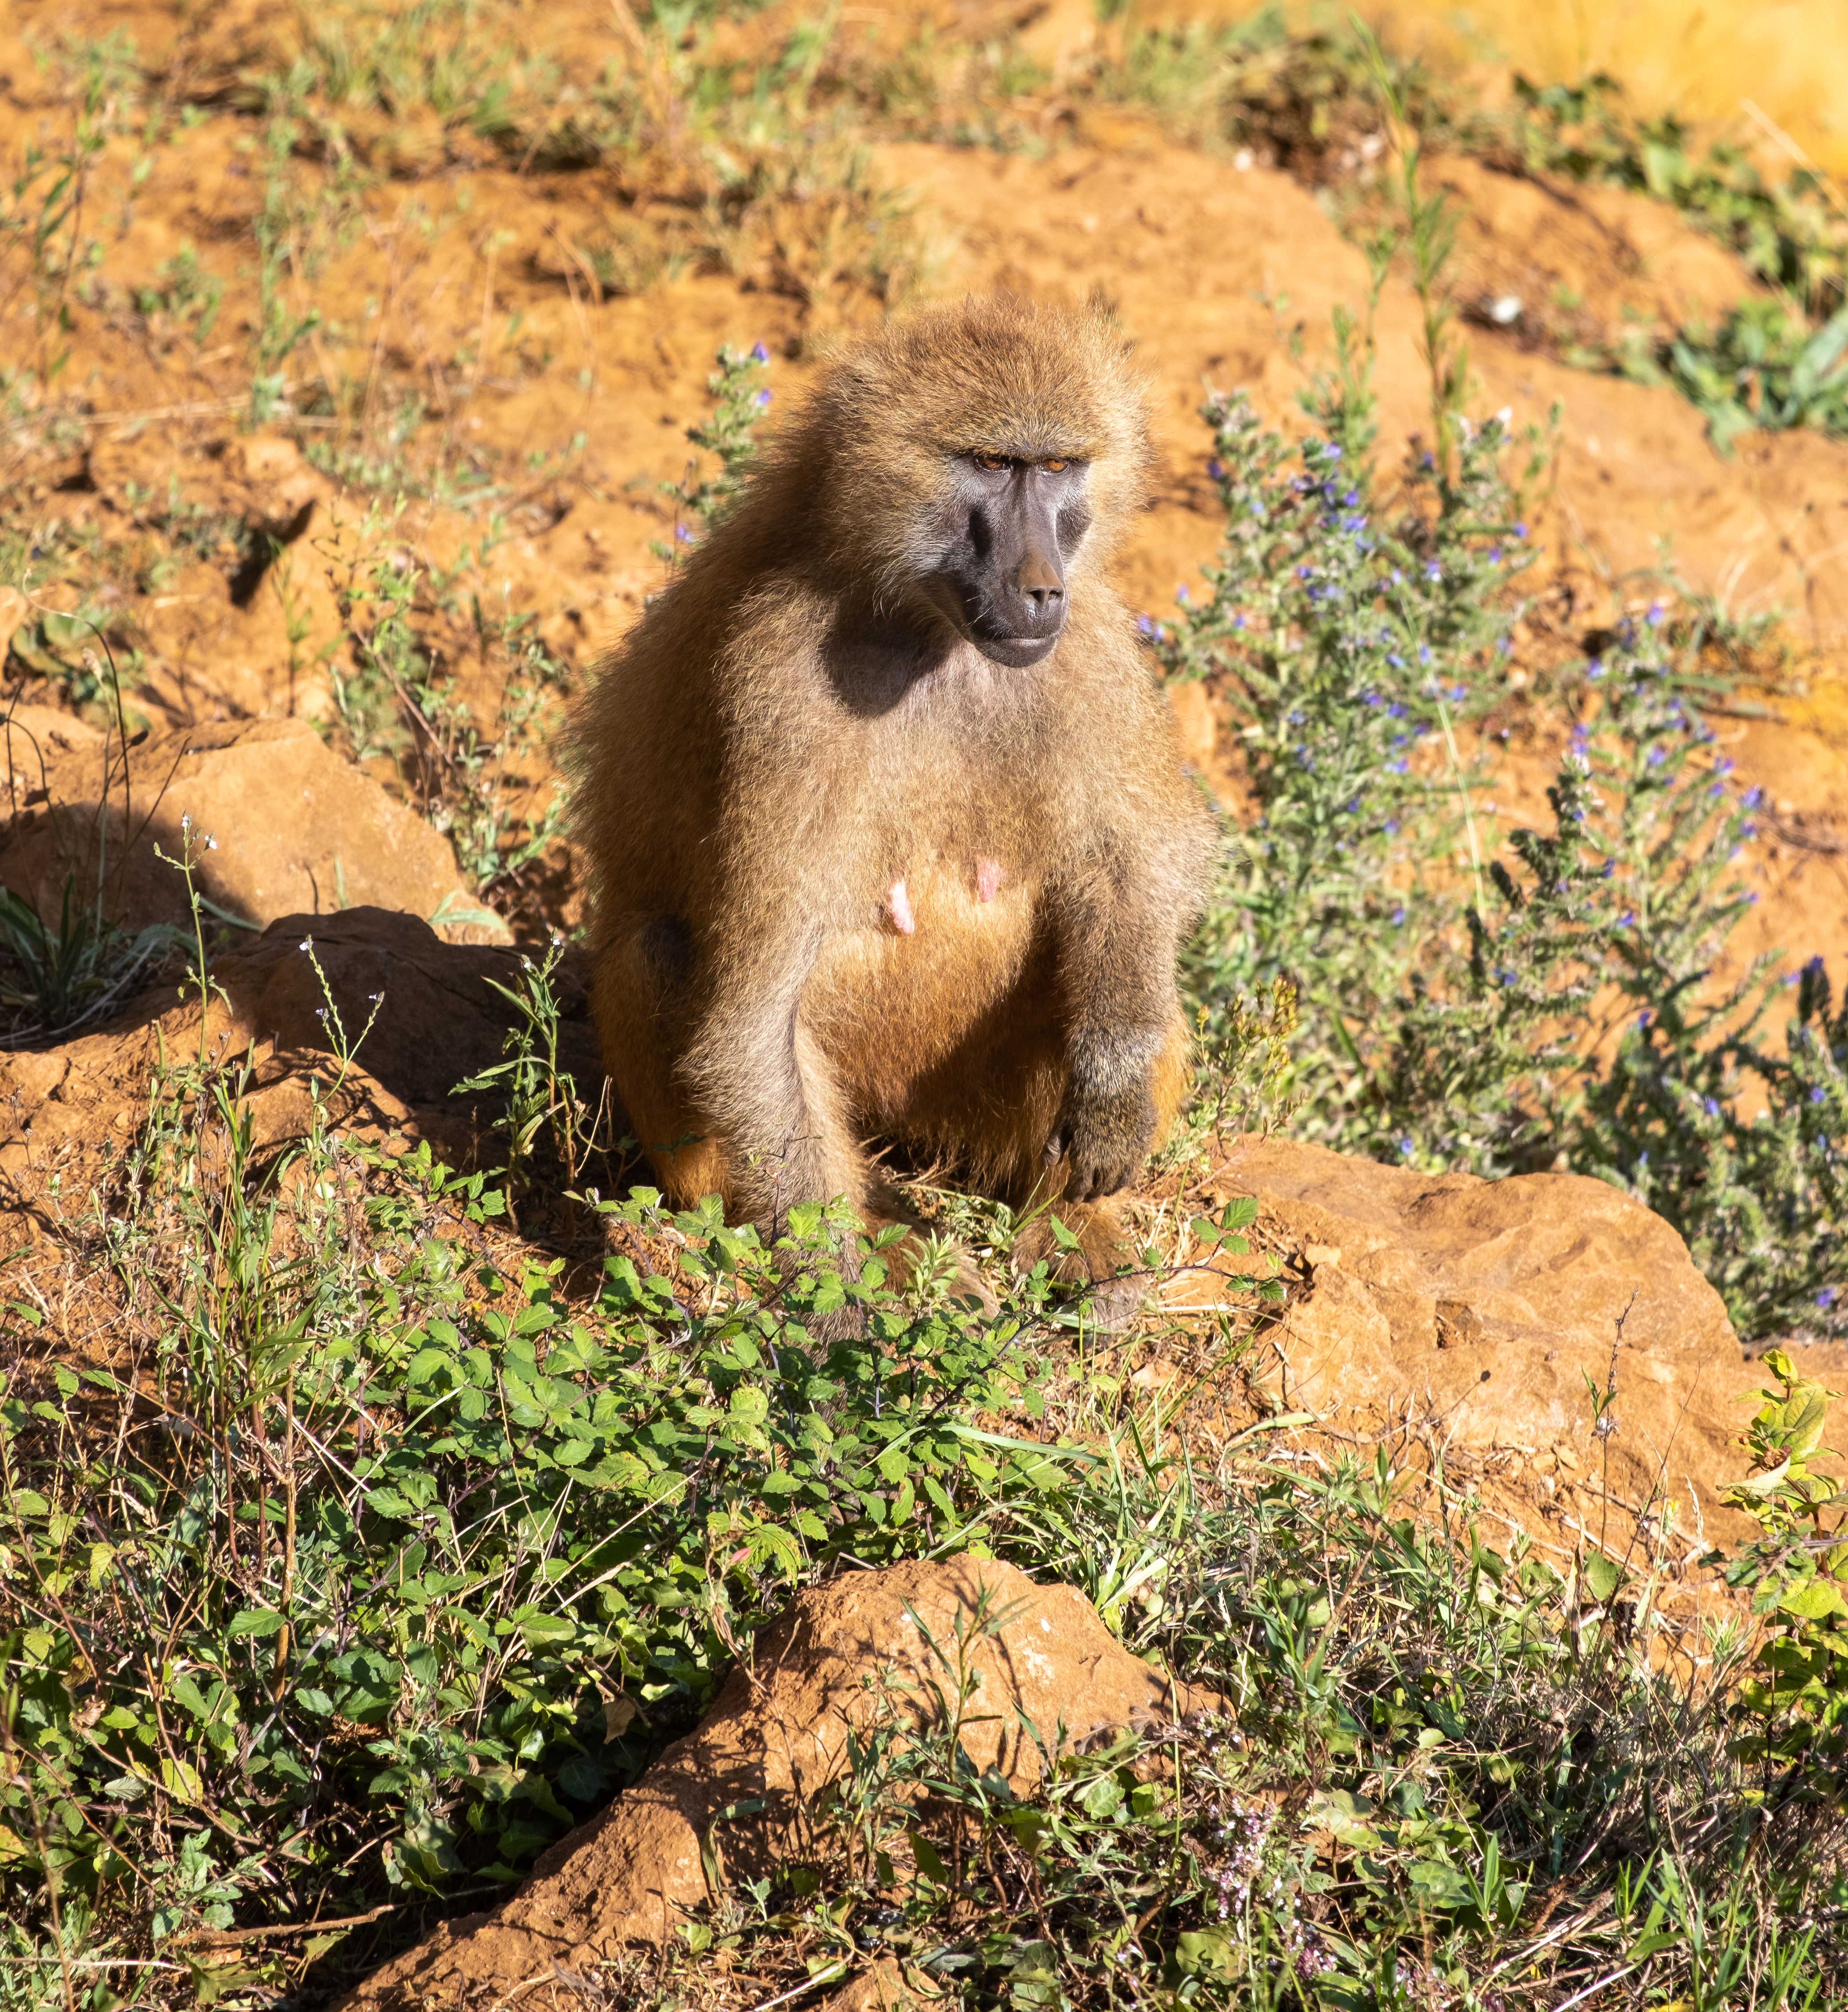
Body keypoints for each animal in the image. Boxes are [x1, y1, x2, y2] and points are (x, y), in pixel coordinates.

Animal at [571, 295, 1214, 1298]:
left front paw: (1112, 1096)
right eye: (990, 463)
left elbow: (1131, 867)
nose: (1041, 591)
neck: (924, 626)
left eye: (1057, 467)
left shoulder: (1094, 646)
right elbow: (753, 1014)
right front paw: (839, 1299)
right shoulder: (781, 678)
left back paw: (1068, 1227)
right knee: (658, 954)